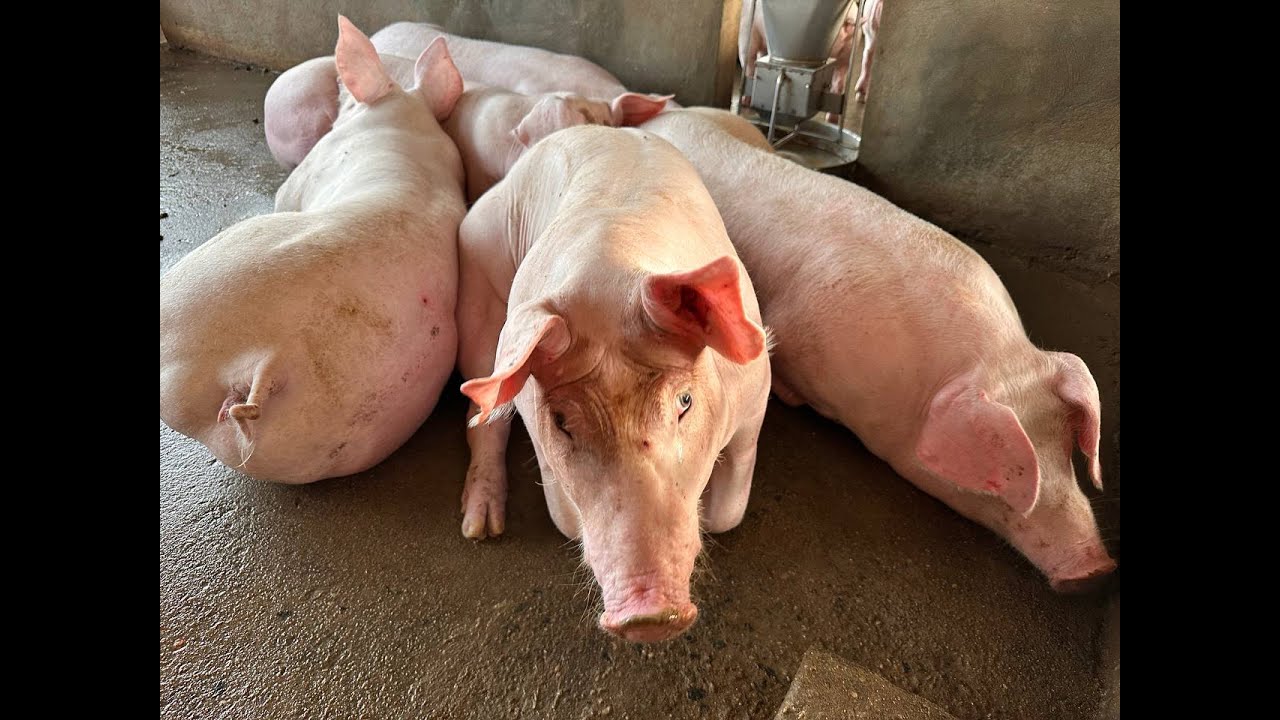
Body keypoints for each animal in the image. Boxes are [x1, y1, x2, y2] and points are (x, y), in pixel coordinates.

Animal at [161, 18, 467, 483]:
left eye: (345, 95)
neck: (406, 117)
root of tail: (270, 359)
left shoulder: (300, 179)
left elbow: (286, 191)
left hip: (193, 289)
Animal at [455, 124, 772, 641]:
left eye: (684, 401)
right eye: (562, 422)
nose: (648, 616)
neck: (610, 277)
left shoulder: (756, 397)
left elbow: (731, 512)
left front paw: (708, 514)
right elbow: (567, 522)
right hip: (481, 303)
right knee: (481, 416)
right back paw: (481, 529)